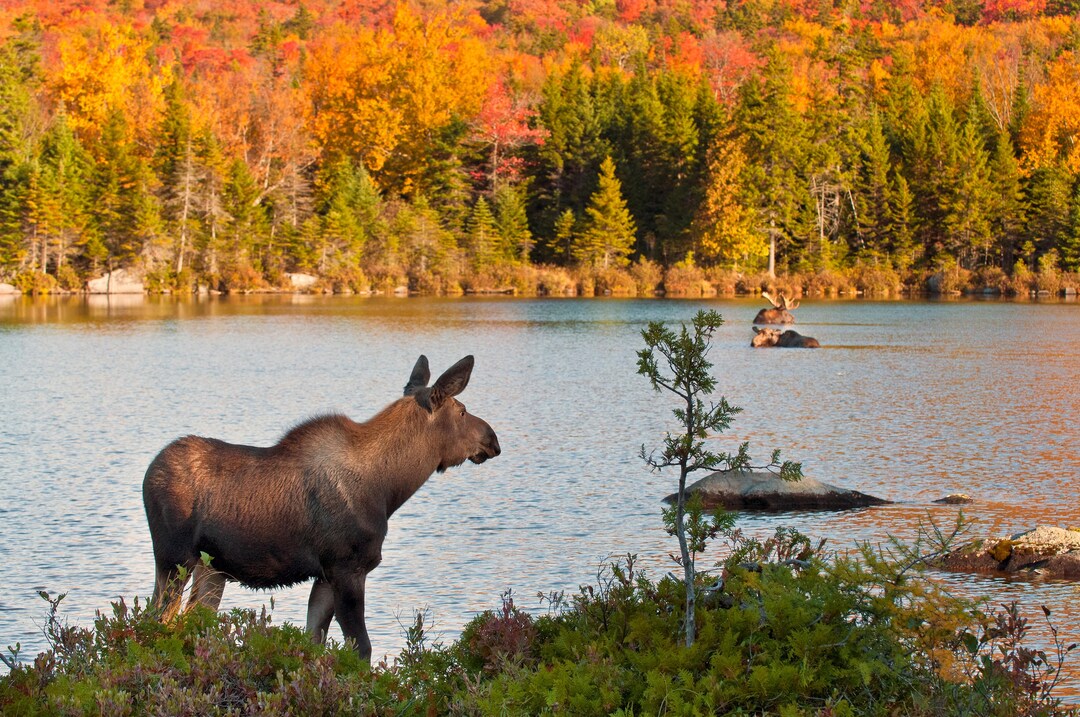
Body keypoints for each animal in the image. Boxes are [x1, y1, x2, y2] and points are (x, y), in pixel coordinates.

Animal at [142, 355, 500, 660]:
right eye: (462, 411)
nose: (493, 439)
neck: (389, 489)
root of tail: (147, 475)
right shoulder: (347, 567)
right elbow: (361, 648)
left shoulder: (325, 575)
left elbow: (313, 640)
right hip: (174, 558)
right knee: (155, 621)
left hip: (212, 568)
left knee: (189, 622)